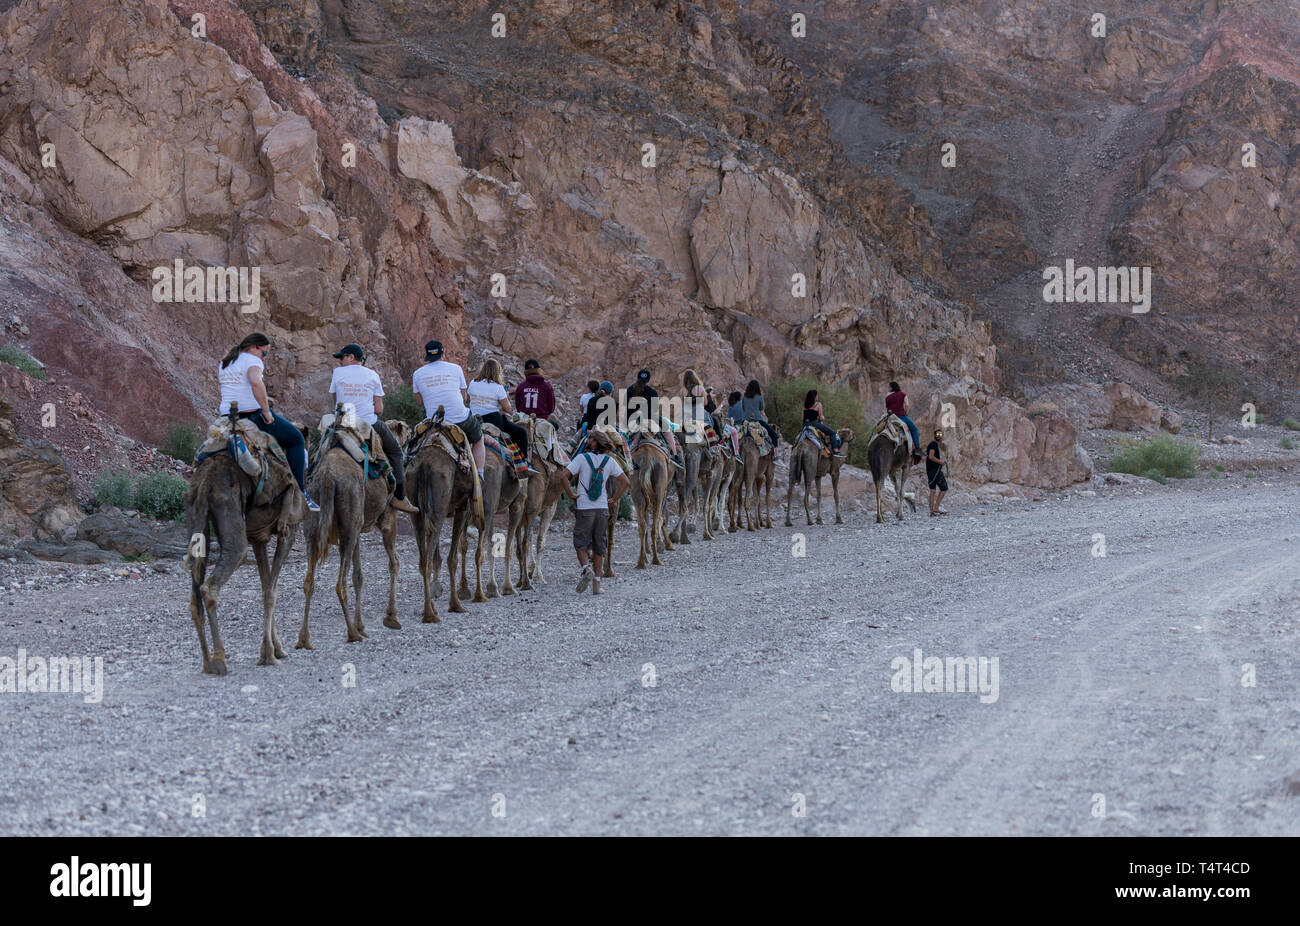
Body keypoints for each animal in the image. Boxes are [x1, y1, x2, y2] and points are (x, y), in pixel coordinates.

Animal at [183, 418, 305, 674]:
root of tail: (205, 480)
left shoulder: (258, 538)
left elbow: (265, 585)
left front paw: (275, 649)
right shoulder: (287, 531)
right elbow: (271, 590)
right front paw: (269, 654)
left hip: (196, 516)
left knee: (194, 588)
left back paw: (207, 662)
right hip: (233, 523)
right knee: (212, 583)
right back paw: (220, 659)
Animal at [296, 417, 409, 650]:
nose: (412, 432)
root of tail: (329, 476)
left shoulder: (356, 528)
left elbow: (358, 576)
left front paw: (363, 625)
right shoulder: (387, 517)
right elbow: (394, 563)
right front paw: (391, 617)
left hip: (317, 525)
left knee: (309, 581)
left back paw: (304, 639)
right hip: (350, 518)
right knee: (340, 584)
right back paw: (352, 633)